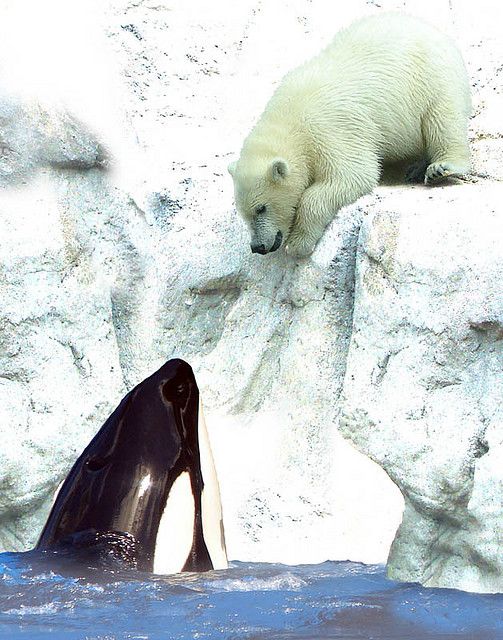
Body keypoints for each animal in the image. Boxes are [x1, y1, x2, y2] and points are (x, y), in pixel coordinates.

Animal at [228, 12, 471, 258]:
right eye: (243, 212)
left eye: (261, 208)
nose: (258, 246)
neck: (289, 117)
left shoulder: (330, 130)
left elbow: (351, 174)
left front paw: (298, 243)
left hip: (431, 80)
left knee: (443, 119)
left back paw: (440, 167)